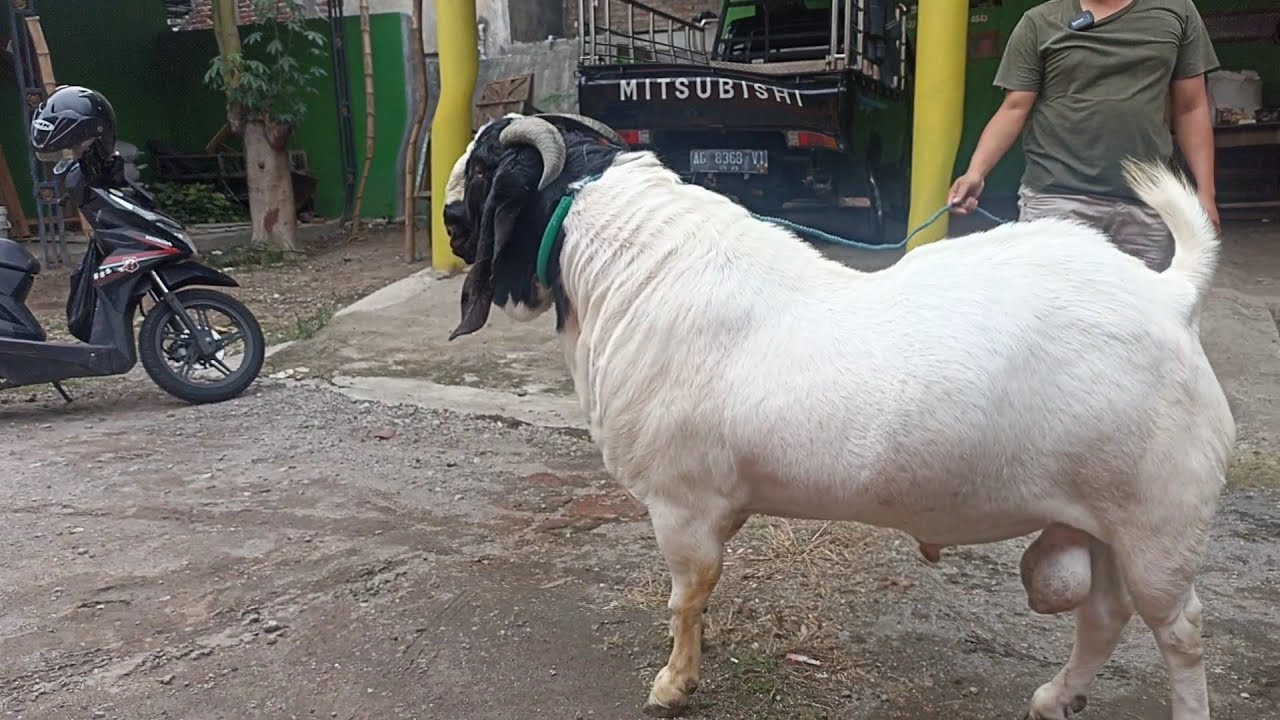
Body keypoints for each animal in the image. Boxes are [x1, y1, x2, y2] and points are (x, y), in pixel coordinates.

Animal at [443, 115, 1235, 720]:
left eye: (482, 175)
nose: (447, 222)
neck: (637, 272)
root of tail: (1171, 295)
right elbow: (702, 594)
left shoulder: (681, 501)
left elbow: (686, 594)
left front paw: (674, 684)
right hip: (1105, 517)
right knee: (1104, 616)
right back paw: (1052, 697)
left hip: (1160, 516)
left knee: (1182, 630)